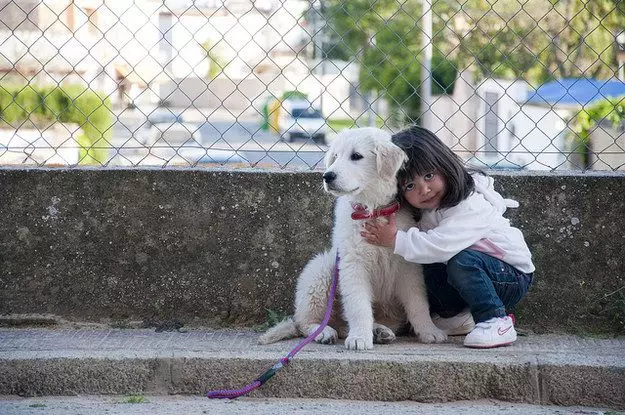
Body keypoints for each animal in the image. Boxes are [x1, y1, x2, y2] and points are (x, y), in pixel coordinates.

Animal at [258, 127, 444, 352]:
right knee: (305, 323)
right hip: (323, 269)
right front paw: (359, 338)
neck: (372, 211)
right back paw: (325, 332)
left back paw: (379, 331)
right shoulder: (352, 263)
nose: (327, 176)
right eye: (336, 157)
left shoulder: (407, 266)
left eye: (356, 156)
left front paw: (429, 331)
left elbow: (418, 303)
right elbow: (358, 306)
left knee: (347, 323)